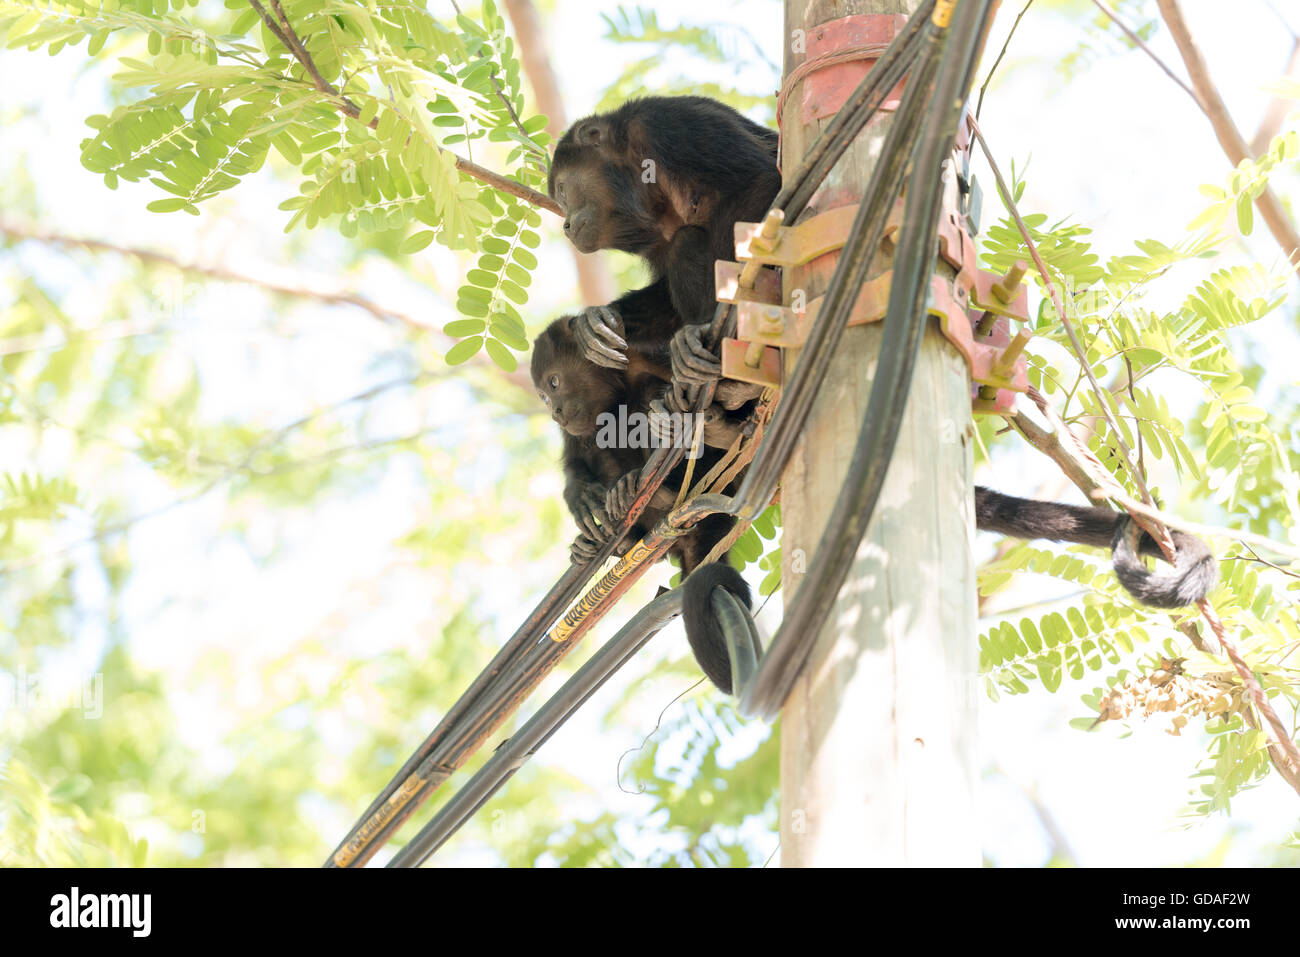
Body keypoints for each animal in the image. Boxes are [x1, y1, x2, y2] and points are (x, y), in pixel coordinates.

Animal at [548, 96, 782, 392]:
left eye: (563, 191)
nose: (566, 226)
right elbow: (665, 295)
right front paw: (593, 320)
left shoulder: (665, 124)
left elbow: (758, 181)